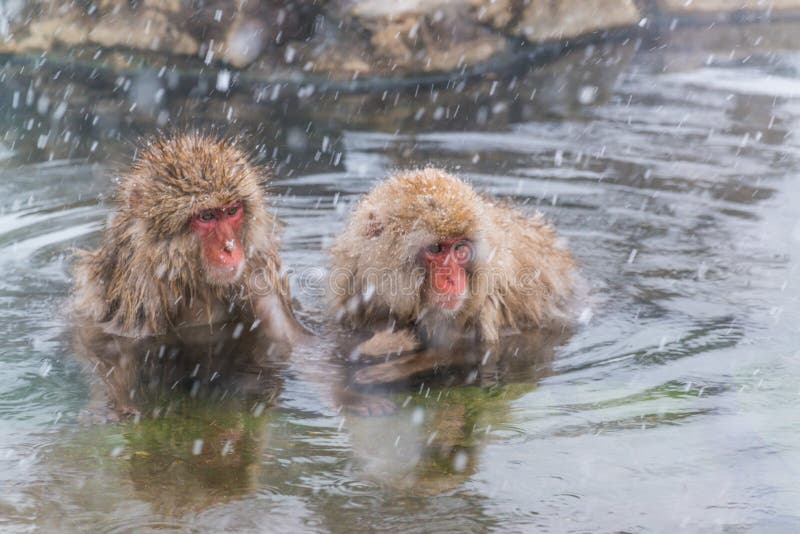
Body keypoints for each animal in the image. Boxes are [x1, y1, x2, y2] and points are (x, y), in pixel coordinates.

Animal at [328, 168, 578, 383]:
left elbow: (478, 351)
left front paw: (389, 361)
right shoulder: (354, 281)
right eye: (436, 248)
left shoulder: (487, 301)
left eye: (460, 249)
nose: (452, 280)